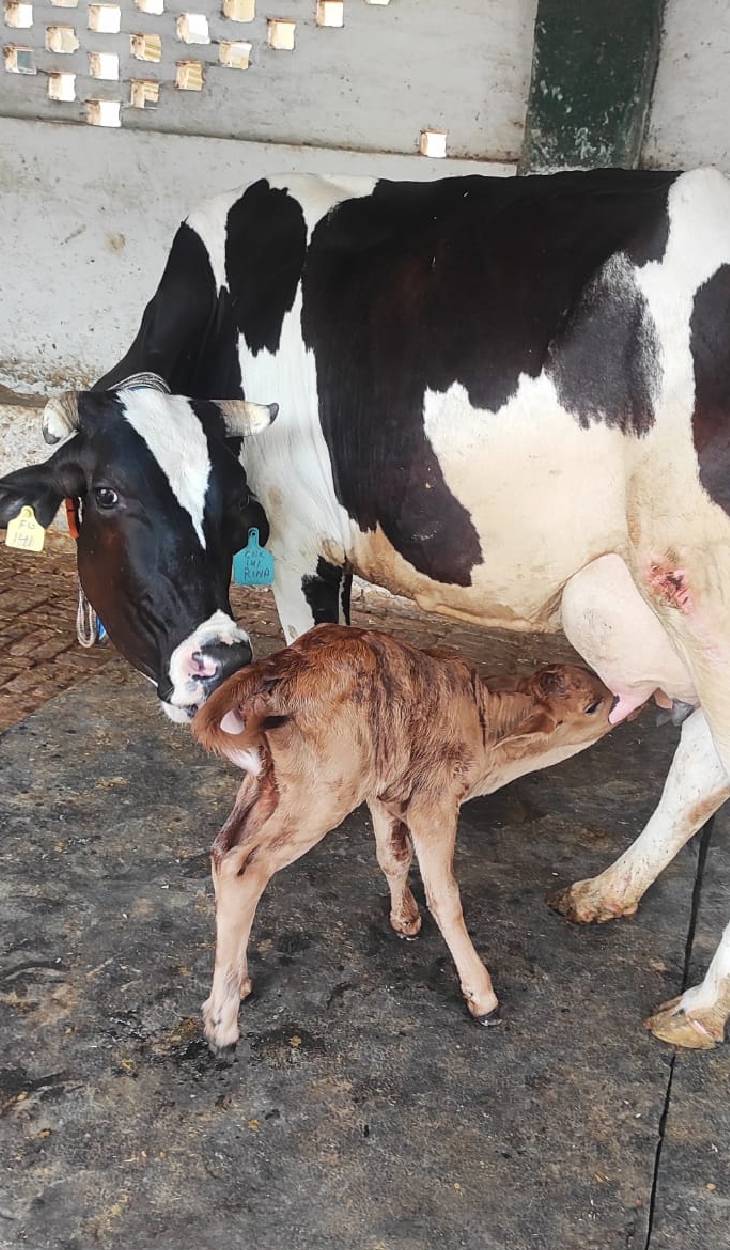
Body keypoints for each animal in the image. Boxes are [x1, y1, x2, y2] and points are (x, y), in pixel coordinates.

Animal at [193, 623, 613, 1050]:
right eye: (591, 706)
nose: (618, 701)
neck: (483, 724)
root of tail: (282, 663)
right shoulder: (435, 803)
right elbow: (444, 896)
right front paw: (482, 996)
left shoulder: (384, 792)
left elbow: (392, 855)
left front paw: (405, 919)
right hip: (323, 795)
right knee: (243, 866)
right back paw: (222, 1020)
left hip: (269, 784)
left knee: (222, 849)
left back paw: (239, 982)